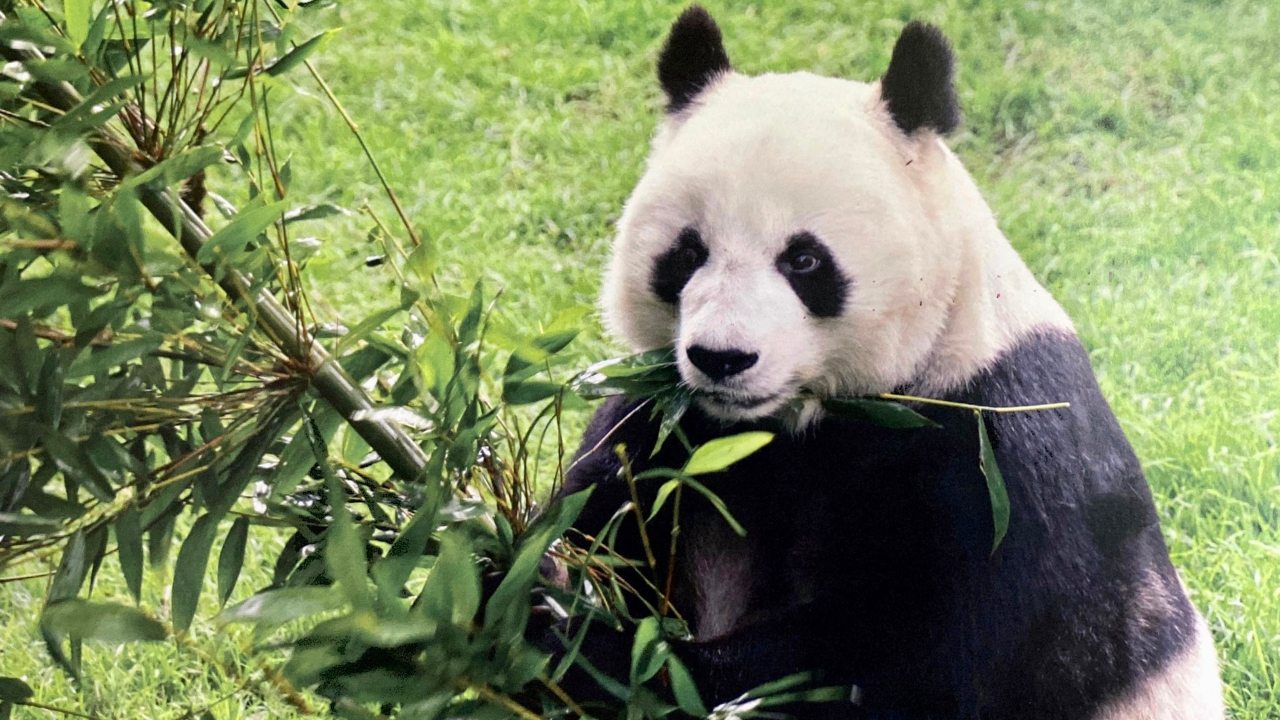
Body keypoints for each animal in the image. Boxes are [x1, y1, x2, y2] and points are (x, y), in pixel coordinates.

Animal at [551, 6, 1225, 719]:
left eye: (804, 260)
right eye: (686, 253)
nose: (722, 358)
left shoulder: (996, 456)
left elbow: (911, 660)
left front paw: (603, 652)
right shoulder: (669, 424)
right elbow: (599, 513)